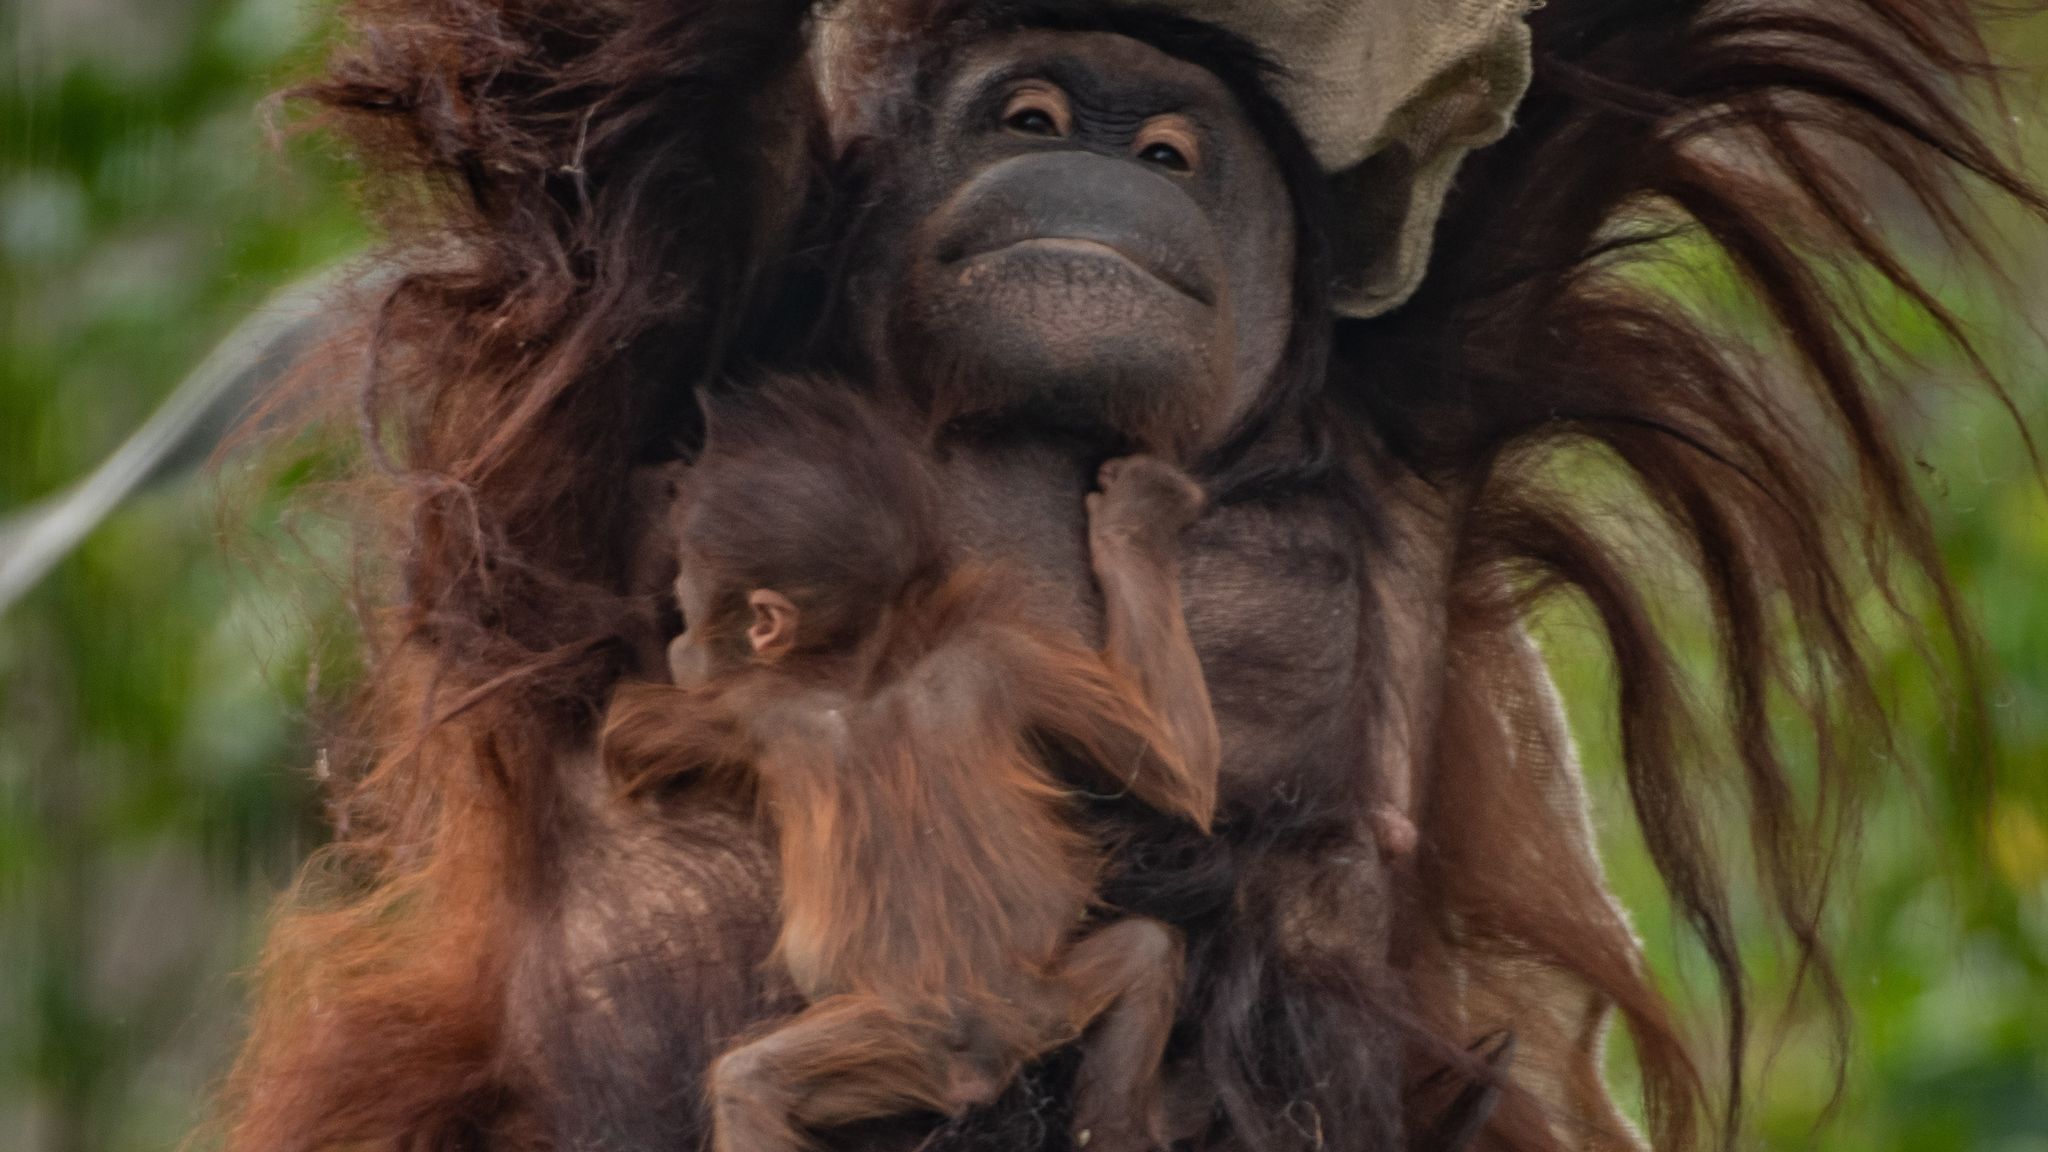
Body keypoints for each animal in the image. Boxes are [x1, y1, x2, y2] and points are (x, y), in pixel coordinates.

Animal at [601, 382, 1222, 1152]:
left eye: (692, 601)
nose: (684, 633)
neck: (867, 666)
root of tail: (982, 1051)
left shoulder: (740, 706)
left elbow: (624, 740)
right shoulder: (1006, 654)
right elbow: (1170, 769)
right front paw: (1136, 521)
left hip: (898, 1044)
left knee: (750, 1082)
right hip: (1029, 1009)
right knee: (1146, 951)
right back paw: (1125, 1125)